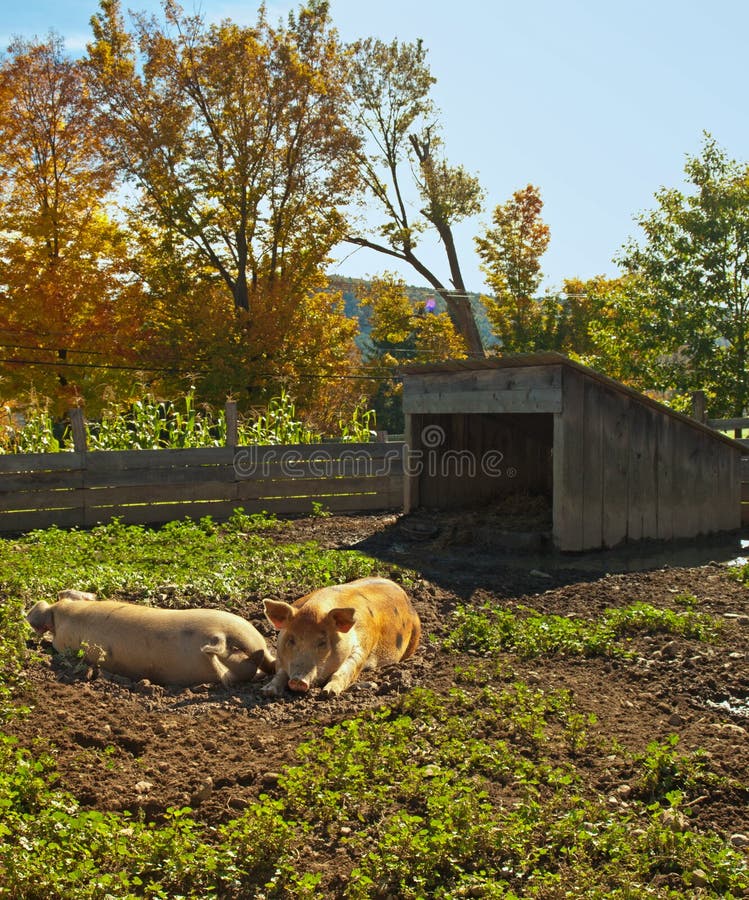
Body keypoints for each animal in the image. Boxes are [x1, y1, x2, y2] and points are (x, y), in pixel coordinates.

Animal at [262, 577, 421, 697]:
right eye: (291, 640)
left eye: (322, 642)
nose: (298, 680)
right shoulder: (280, 657)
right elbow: (280, 674)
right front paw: (267, 691)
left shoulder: (363, 648)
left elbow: (345, 671)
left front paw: (328, 693)